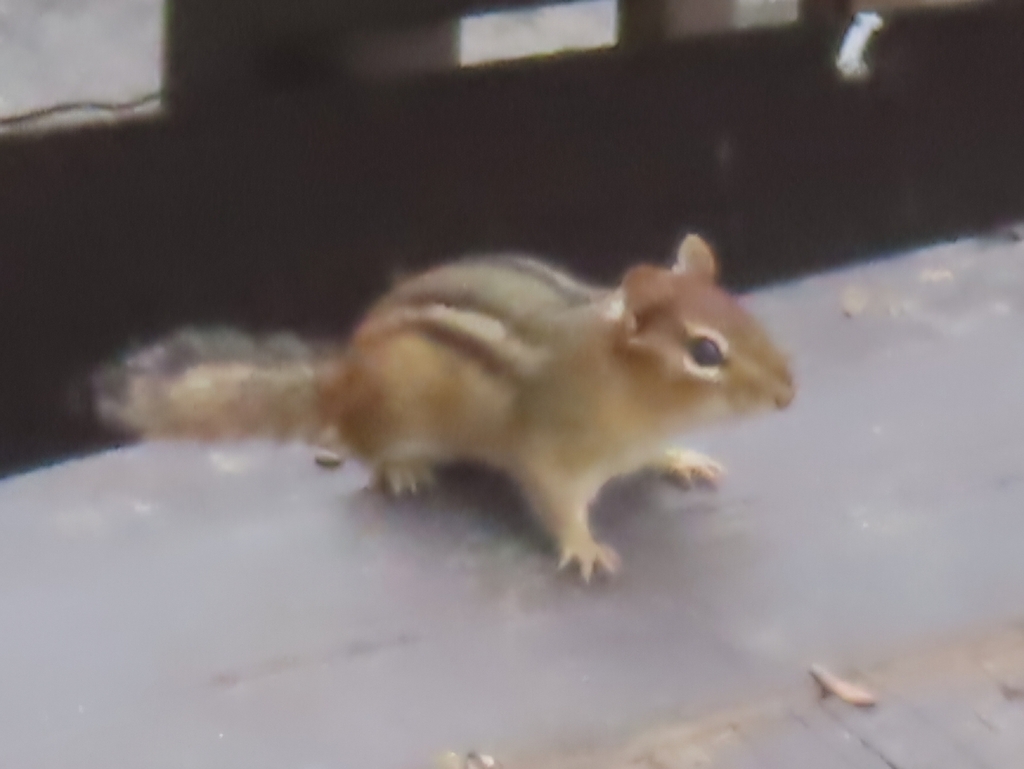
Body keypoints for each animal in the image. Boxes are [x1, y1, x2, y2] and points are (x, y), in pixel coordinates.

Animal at [93, 235, 794, 581]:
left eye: (746, 315)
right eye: (706, 351)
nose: (788, 393)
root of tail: (342, 378)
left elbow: (661, 453)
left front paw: (683, 458)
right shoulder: (552, 448)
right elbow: (555, 501)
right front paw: (585, 546)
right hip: (393, 412)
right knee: (361, 445)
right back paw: (402, 469)